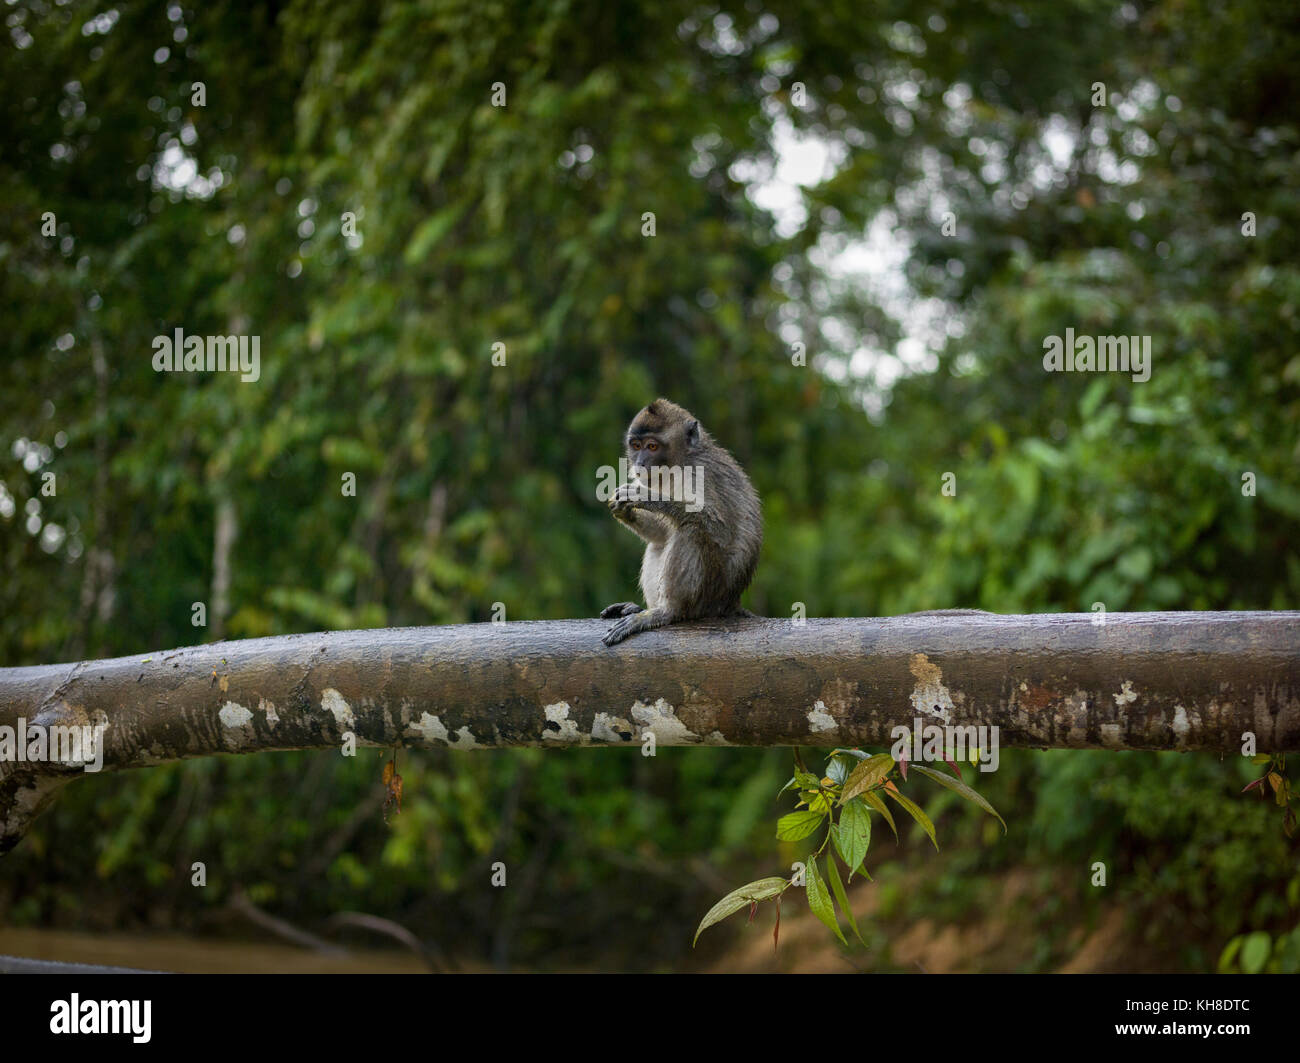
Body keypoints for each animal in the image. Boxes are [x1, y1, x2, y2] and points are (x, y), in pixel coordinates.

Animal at [600, 398, 762, 646]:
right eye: (636, 446)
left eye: (652, 447)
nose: (639, 464)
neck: (679, 462)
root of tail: (730, 604)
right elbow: (661, 534)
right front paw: (623, 510)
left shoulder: (698, 474)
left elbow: (718, 528)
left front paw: (645, 496)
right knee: (660, 543)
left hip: (708, 596)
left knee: (691, 531)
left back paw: (666, 612)